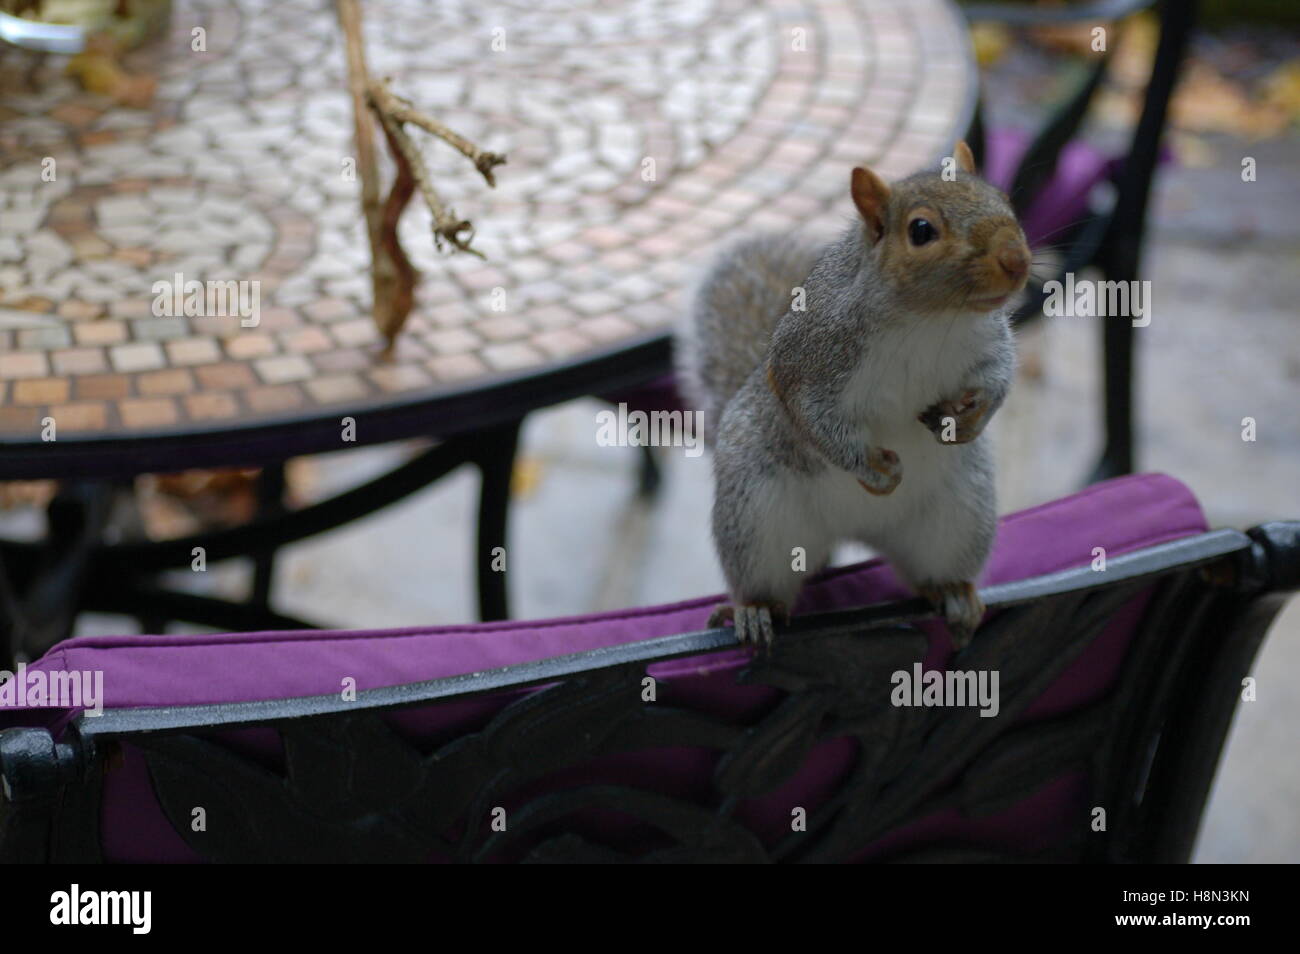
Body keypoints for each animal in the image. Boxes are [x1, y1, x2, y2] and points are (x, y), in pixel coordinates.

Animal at [676, 141, 1029, 649]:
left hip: (960, 516)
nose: (1016, 260)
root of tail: (858, 529)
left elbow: (998, 376)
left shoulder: (987, 342)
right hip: (756, 519)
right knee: (762, 578)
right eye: (921, 230)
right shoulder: (808, 360)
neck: (931, 319)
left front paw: (974, 417)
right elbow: (812, 417)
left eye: (1004, 200)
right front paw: (871, 468)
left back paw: (954, 593)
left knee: (936, 569)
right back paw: (756, 609)